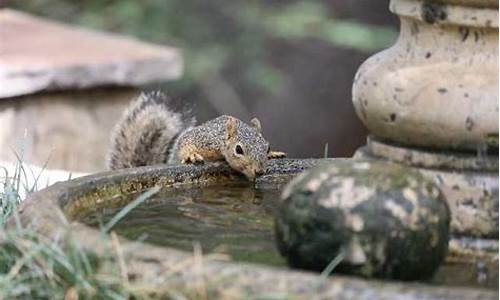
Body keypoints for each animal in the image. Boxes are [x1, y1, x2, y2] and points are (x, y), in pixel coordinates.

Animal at [106, 91, 286, 179]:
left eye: (266, 147)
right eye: (239, 150)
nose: (259, 172)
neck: (221, 140)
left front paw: (274, 153)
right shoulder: (206, 139)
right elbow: (186, 140)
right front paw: (191, 154)